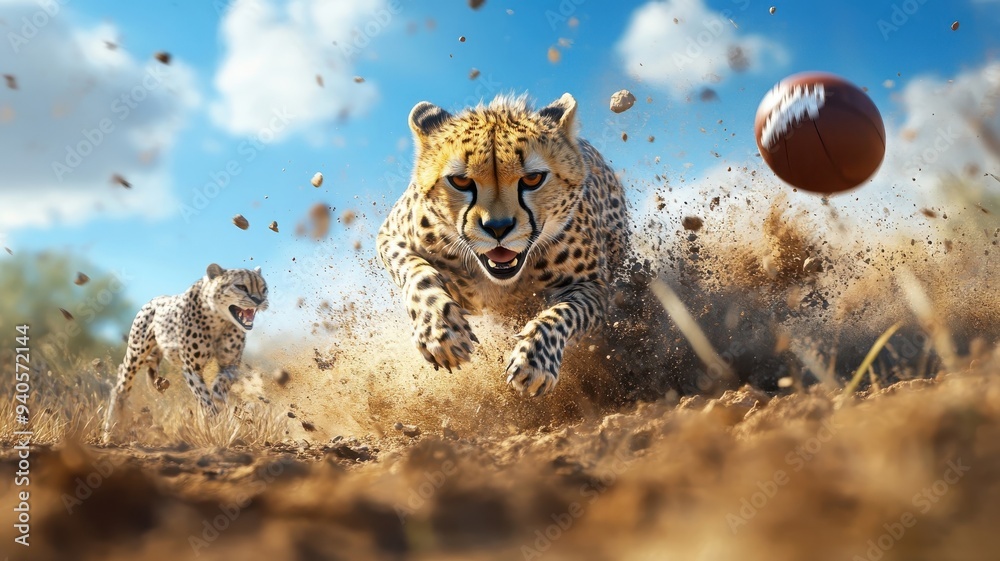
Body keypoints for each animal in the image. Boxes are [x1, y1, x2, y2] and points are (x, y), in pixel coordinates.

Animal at [102, 263, 268, 442]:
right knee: (122, 382)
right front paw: (213, 423)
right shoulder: (191, 368)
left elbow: (220, 385)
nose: (259, 300)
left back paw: (159, 384)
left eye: (264, 289)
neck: (219, 320)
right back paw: (110, 429)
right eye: (241, 286)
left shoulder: (230, 365)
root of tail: (156, 299)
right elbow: (204, 398)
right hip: (136, 352)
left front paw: (218, 402)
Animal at [377, 93, 629, 397]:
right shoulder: (391, 237)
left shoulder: (594, 287)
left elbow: (560, 314)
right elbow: (417, 275)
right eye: (460, 180)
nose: (498, 227)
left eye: (533, 178)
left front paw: (535, 360)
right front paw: (441, 331)